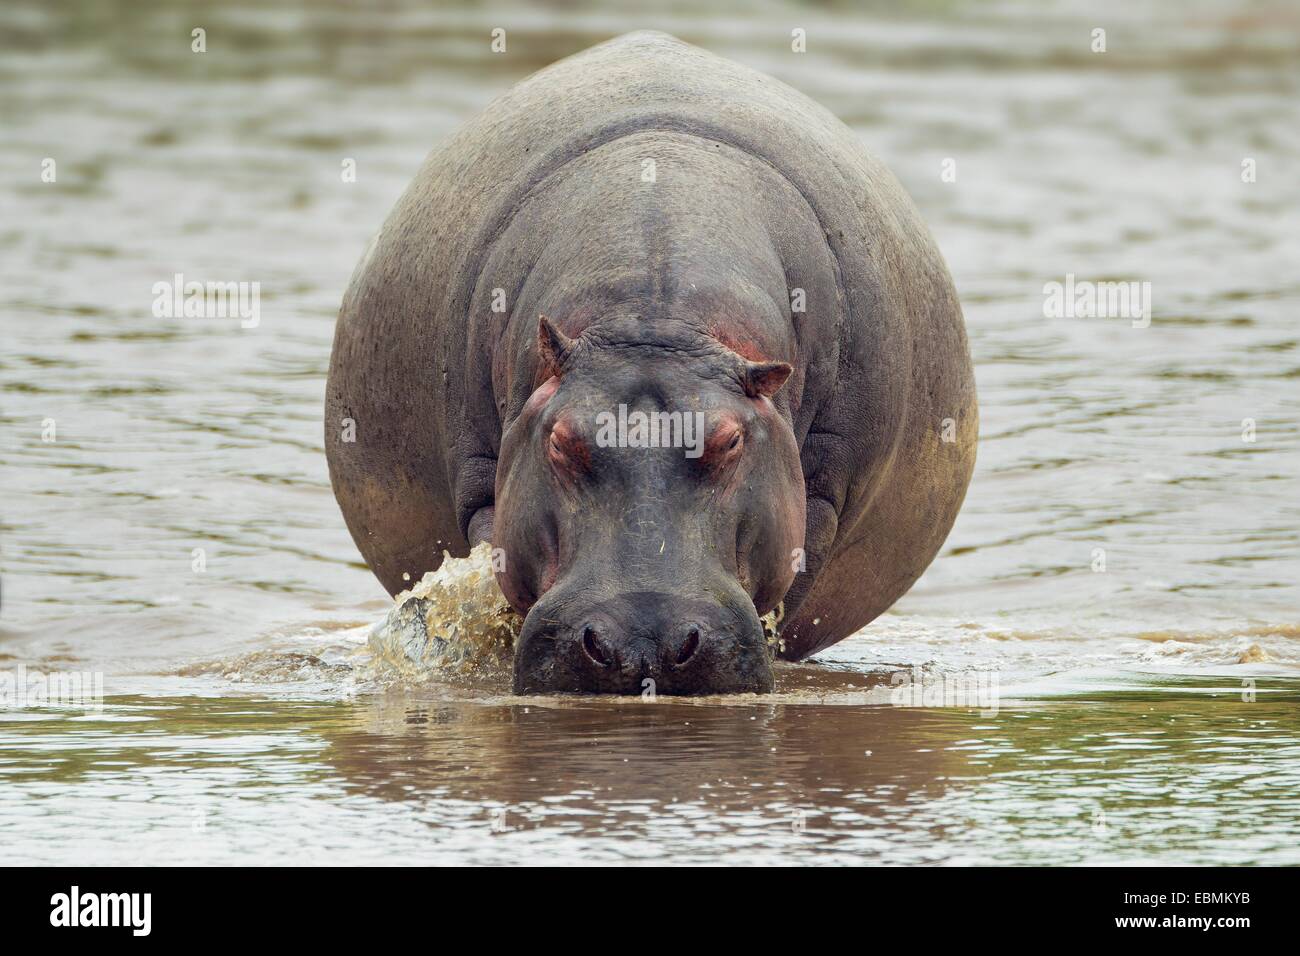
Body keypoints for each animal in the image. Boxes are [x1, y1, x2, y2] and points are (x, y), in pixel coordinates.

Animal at [326, 31, 977, 695]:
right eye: (560, 441)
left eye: (730, 442)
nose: (643, 641)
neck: (654, 321)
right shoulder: (486, 484)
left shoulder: (818, 497)